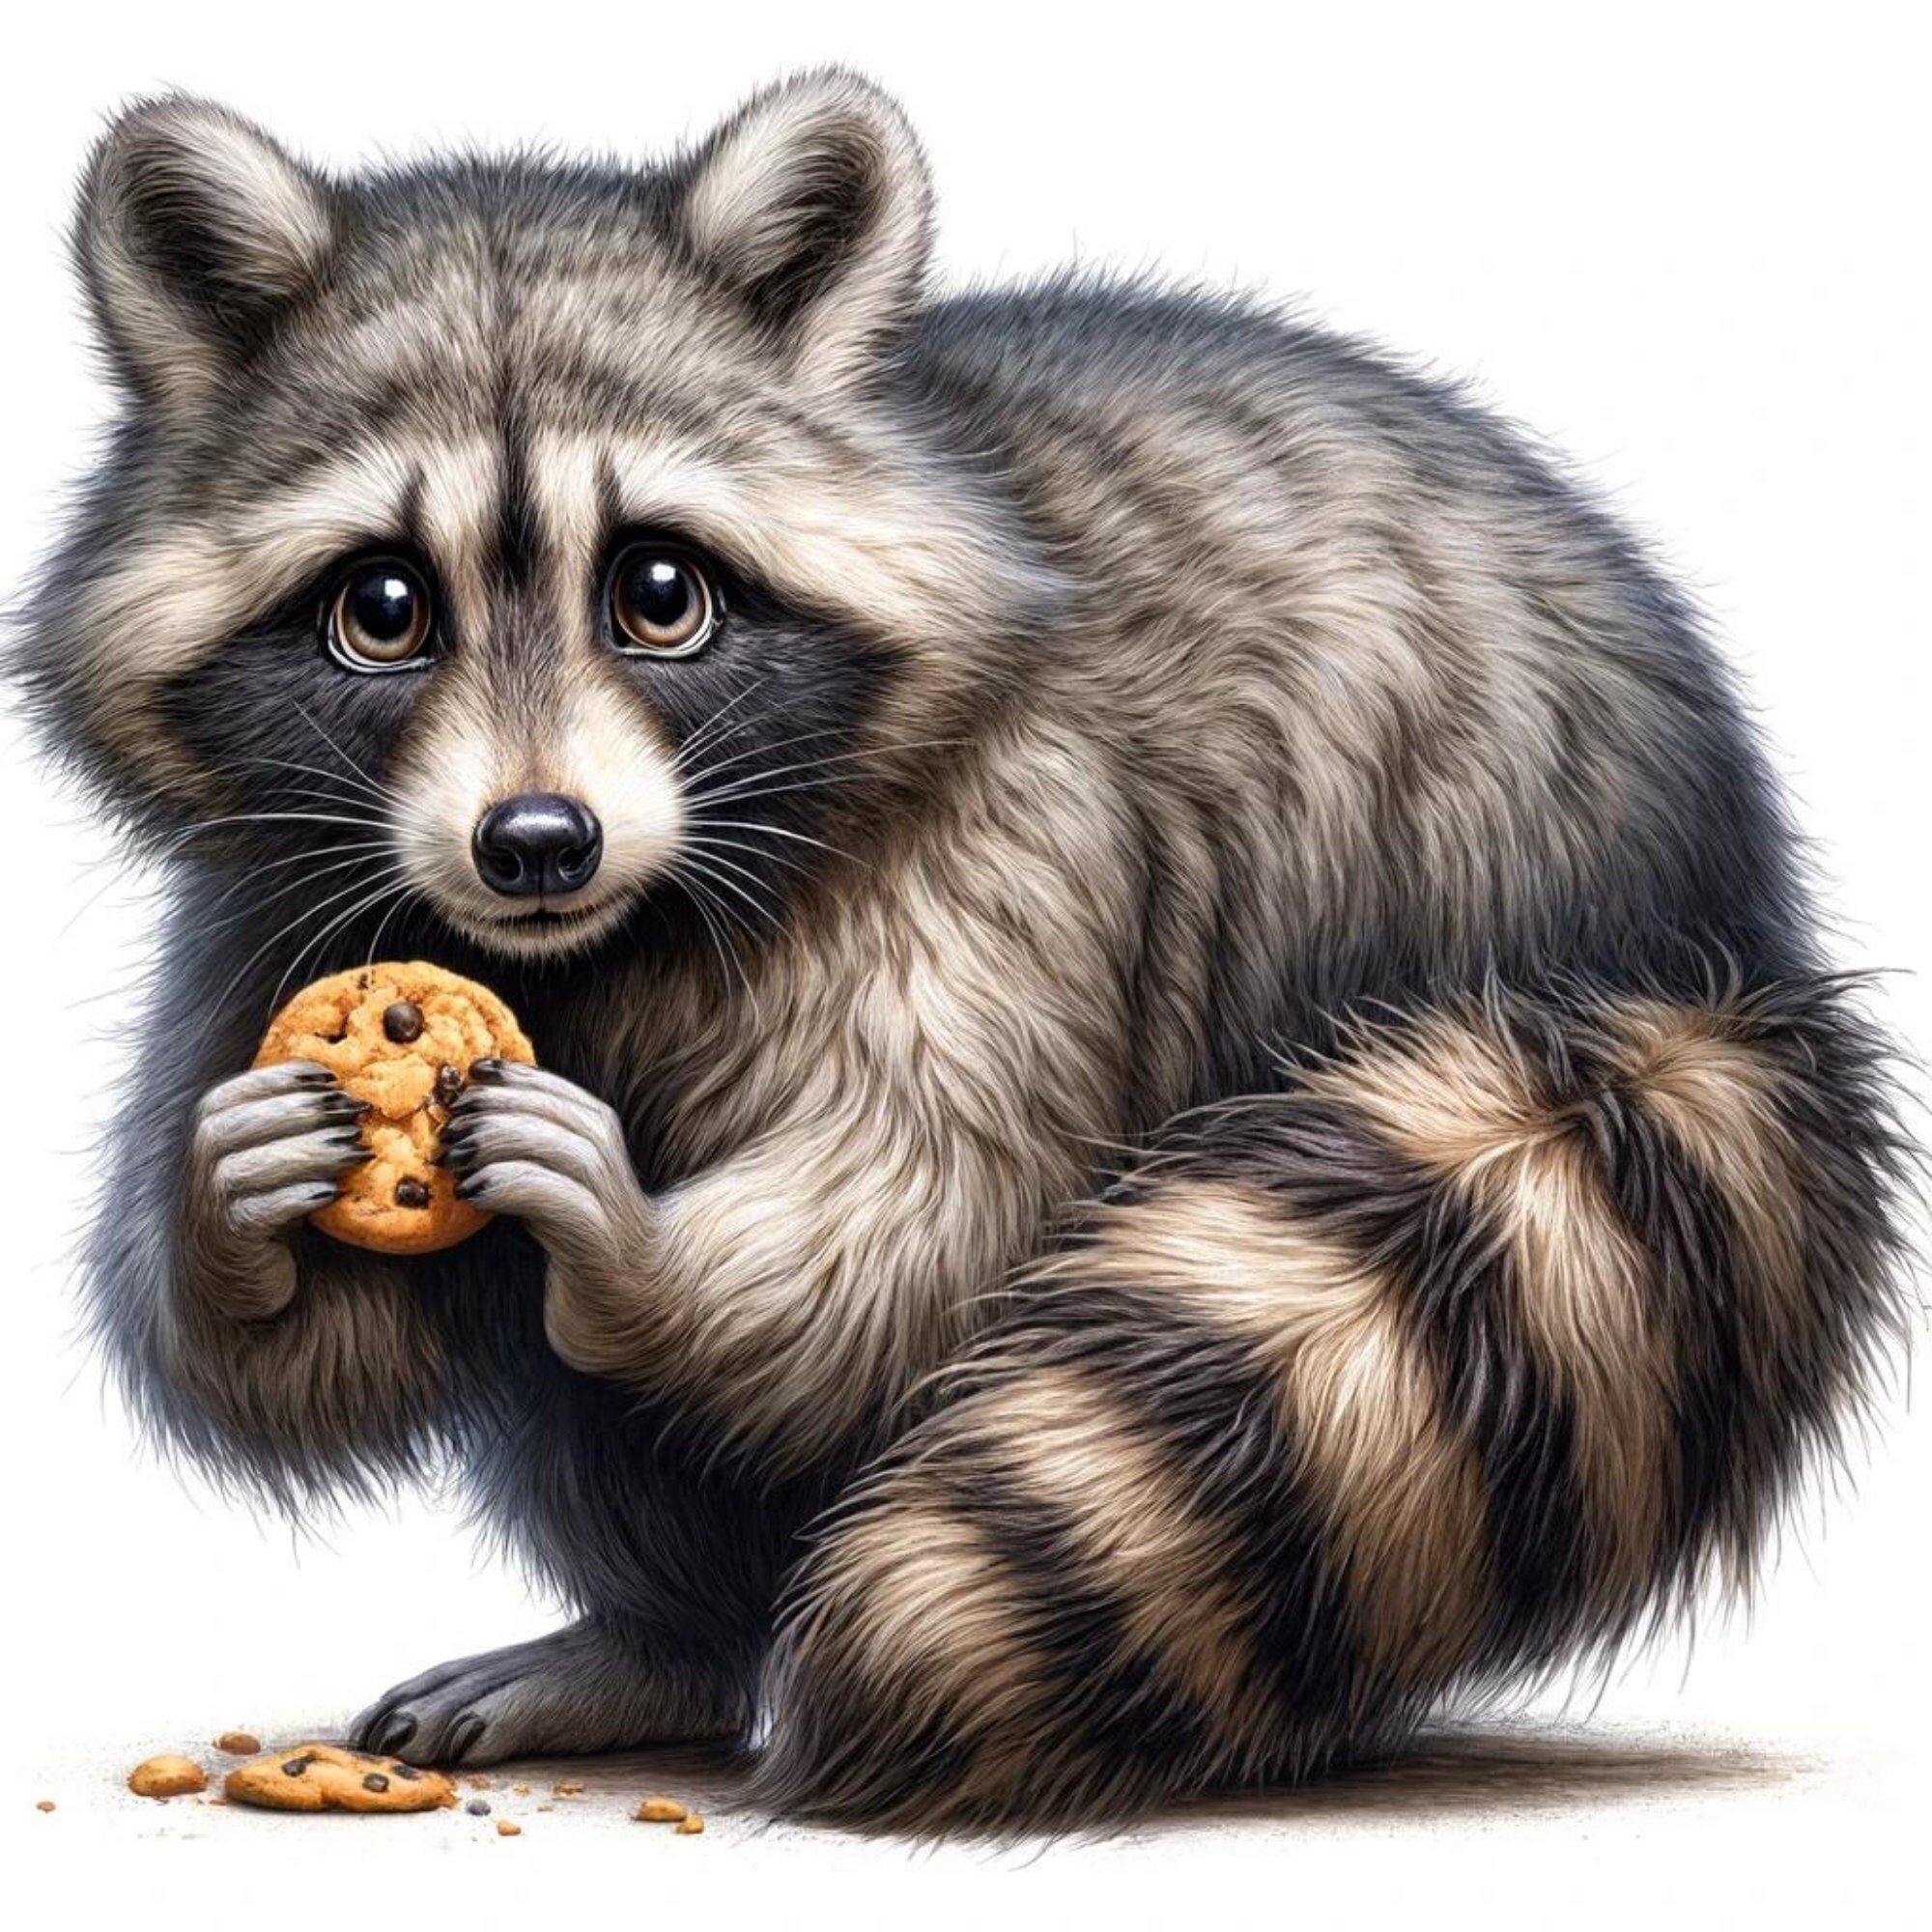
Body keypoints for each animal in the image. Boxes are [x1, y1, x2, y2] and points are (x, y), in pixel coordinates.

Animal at [15, 70, 1912, 1832]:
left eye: (658, 591)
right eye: (383, 610)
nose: (535, 843)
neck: (604, 936)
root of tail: (1734, 969)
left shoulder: (1027, 831)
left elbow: (935, 1210)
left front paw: (634, 1248)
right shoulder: (291, 901)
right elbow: (329, 1352)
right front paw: (233, 1221)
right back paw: (669, 1636)